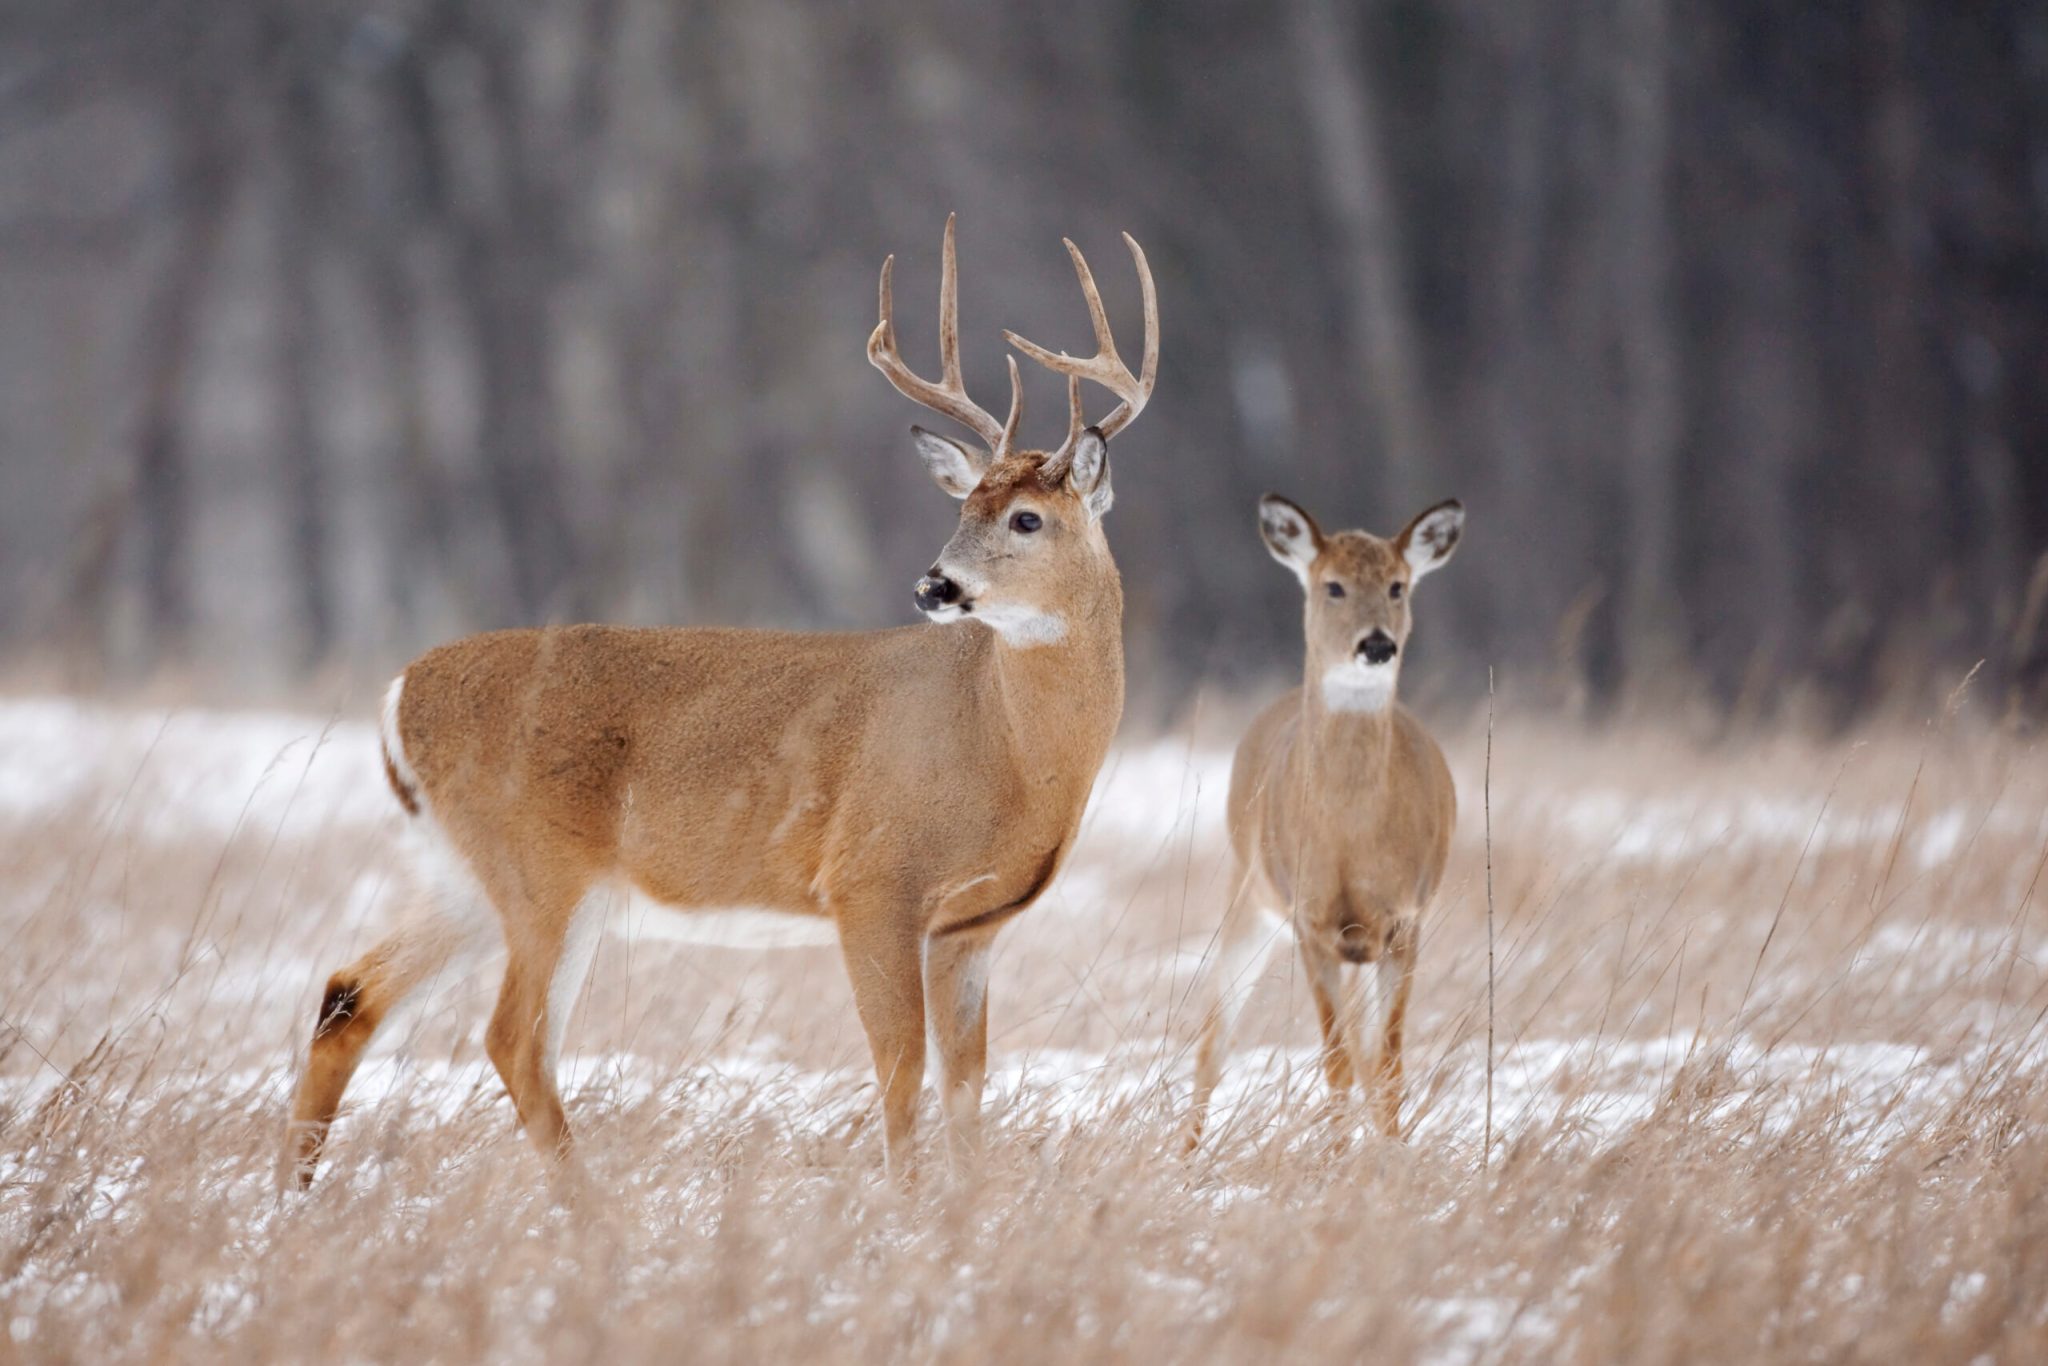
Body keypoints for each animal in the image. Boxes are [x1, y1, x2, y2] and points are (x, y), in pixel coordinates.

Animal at [282, 215, 1158, 1187]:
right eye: (964, 506)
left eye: (1026, 518)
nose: (934, 585)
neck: (1009, 751)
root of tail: (399, 695)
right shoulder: (870, 882)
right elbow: (900, 1073)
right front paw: (905, 1205)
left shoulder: (971, 926)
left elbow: (966, 1090)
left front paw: (967, 1209)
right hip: (542, 867)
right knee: (514, 1038)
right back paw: (591, 1209)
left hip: (462, 872)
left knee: (350, 993)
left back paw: (295, 1197)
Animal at [1186, 491, 1464, 1147]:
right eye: (1332, 586)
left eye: (1397, 585)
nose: (1377, 644)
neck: (1350, 838)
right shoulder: (1309, 920)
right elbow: (1336, 1063)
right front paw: (1336, 1160)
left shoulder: (1404, 918)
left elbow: (1385, 1066)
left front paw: (1387, 1158)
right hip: (1249, 893)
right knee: (1212, 1042)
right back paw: (1182, 1156)